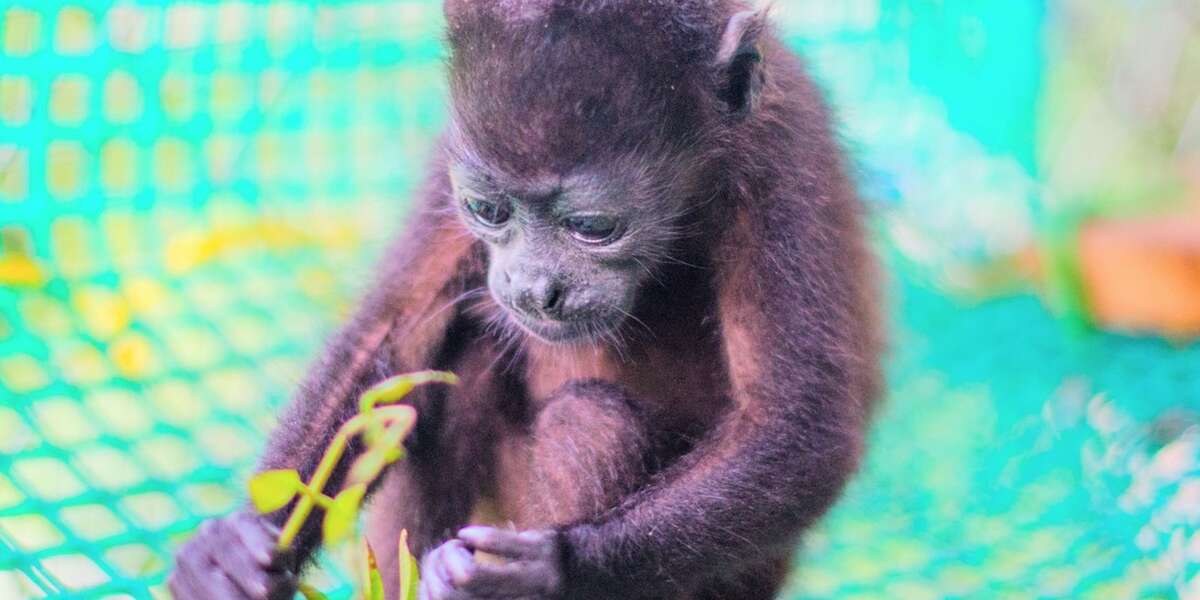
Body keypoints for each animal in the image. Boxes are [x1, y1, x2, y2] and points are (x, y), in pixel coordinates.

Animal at [169, 1, 882, 599]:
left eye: (592, 227)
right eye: (488, 210)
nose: (534, 289)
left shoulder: (782, 163)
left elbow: (796, 427)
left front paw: (552, 566)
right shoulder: (453, 153)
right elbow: (389, 332)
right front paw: (236, 548)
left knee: (590, 420)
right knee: (461, 358)